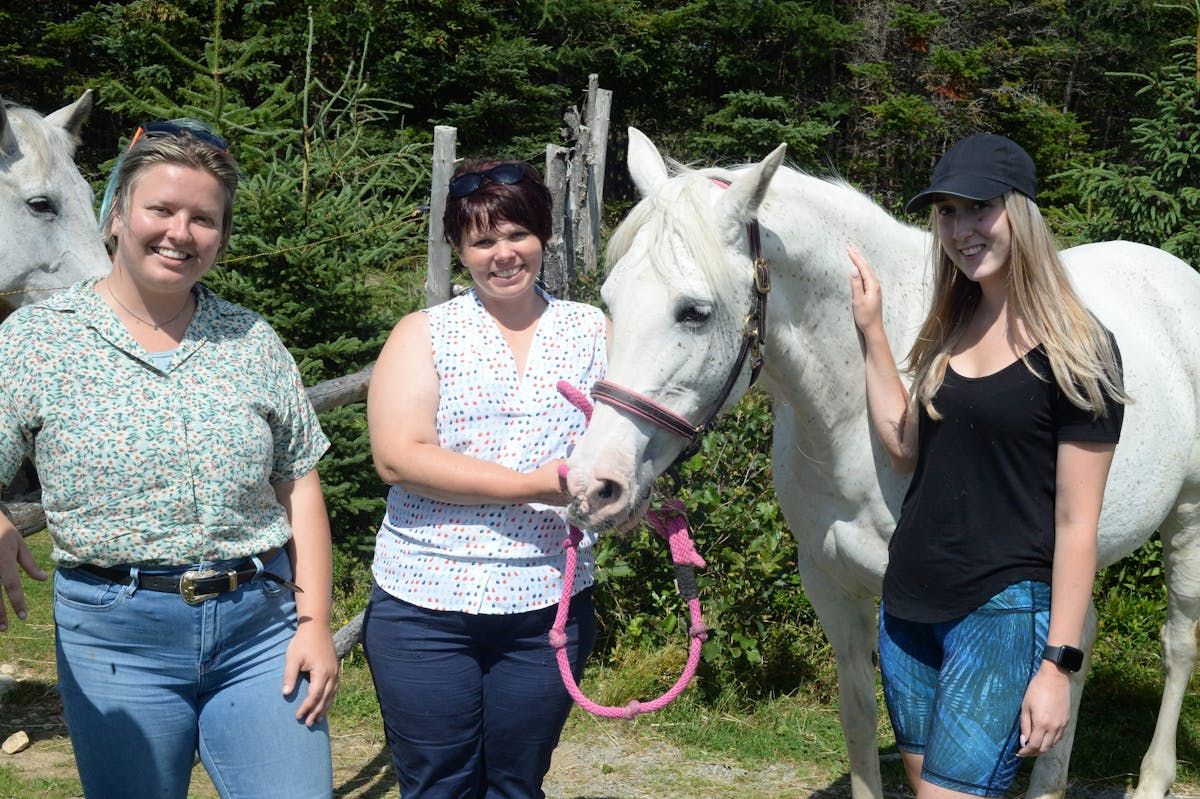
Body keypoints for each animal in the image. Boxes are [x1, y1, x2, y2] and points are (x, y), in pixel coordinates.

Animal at [564, 127, 1200, 799]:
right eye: (609, 299)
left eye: (694, 311)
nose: (593, 486)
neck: (851, 421)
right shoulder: (832, 585)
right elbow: (860, 714)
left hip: (1186, 517)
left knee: (1176, 644)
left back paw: (1153, 777)